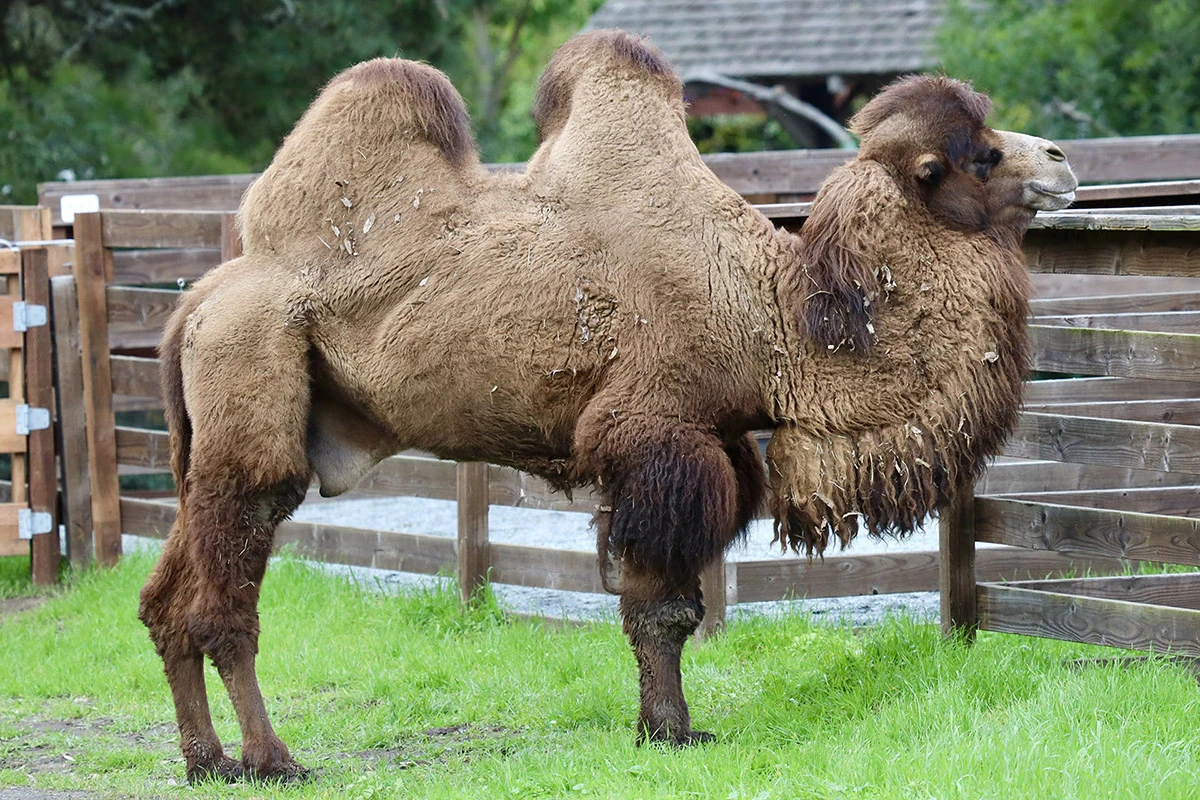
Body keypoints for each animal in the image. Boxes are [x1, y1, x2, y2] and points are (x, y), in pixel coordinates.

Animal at [137, 30, 1077, 783]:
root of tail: (202, 300)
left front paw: (675, 728)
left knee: (164, 598)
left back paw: (205, 759)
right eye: (980, 155)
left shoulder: (717, 444)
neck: (770, 315)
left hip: (216, 439)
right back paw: (273, 761)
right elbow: (660, 610)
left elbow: (677, 607)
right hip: (250, 382)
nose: (1063, 161)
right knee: (224, 599)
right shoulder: (655, 438)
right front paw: (667, 731)